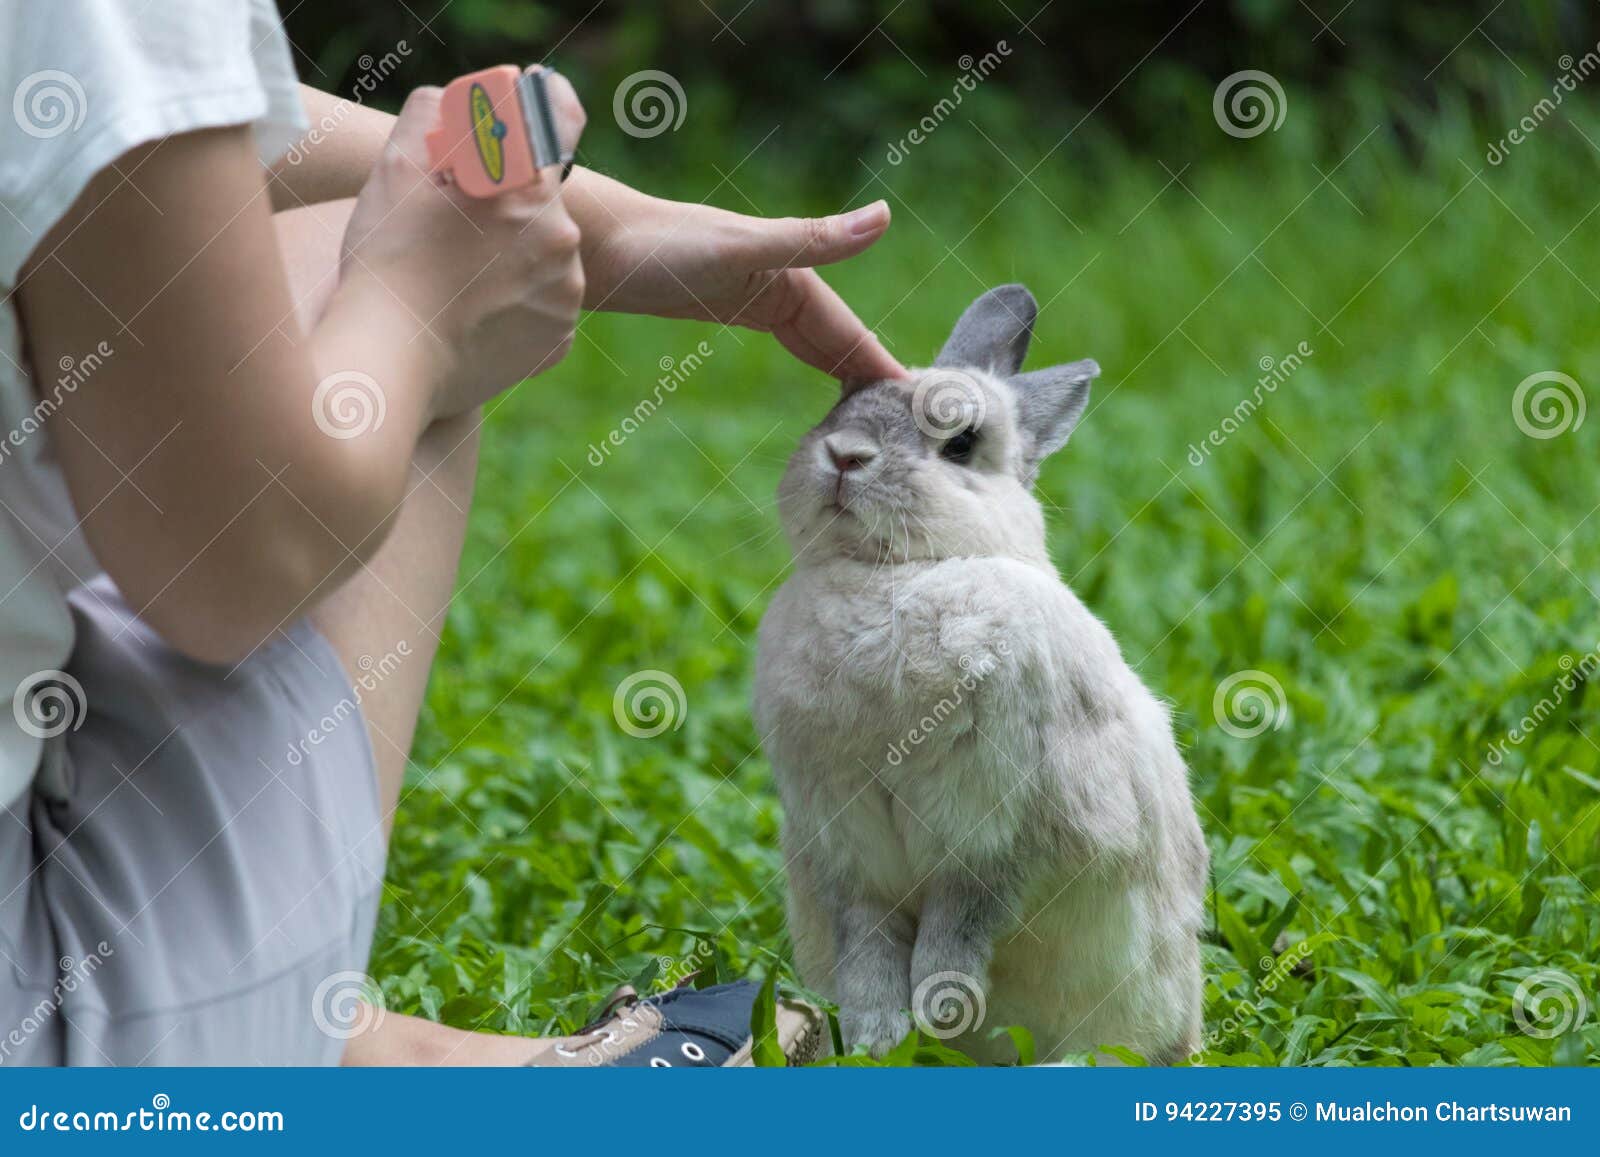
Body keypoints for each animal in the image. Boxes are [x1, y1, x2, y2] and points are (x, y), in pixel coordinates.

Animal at [753, 285, 1209, 1065]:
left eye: (960, 442)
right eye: (839, 403)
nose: (845, 456)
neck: (894, 575)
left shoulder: (1004, 830)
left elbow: (963, 917)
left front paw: (938, 1005)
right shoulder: (842, 843)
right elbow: (866, 936)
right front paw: (878, 1032)